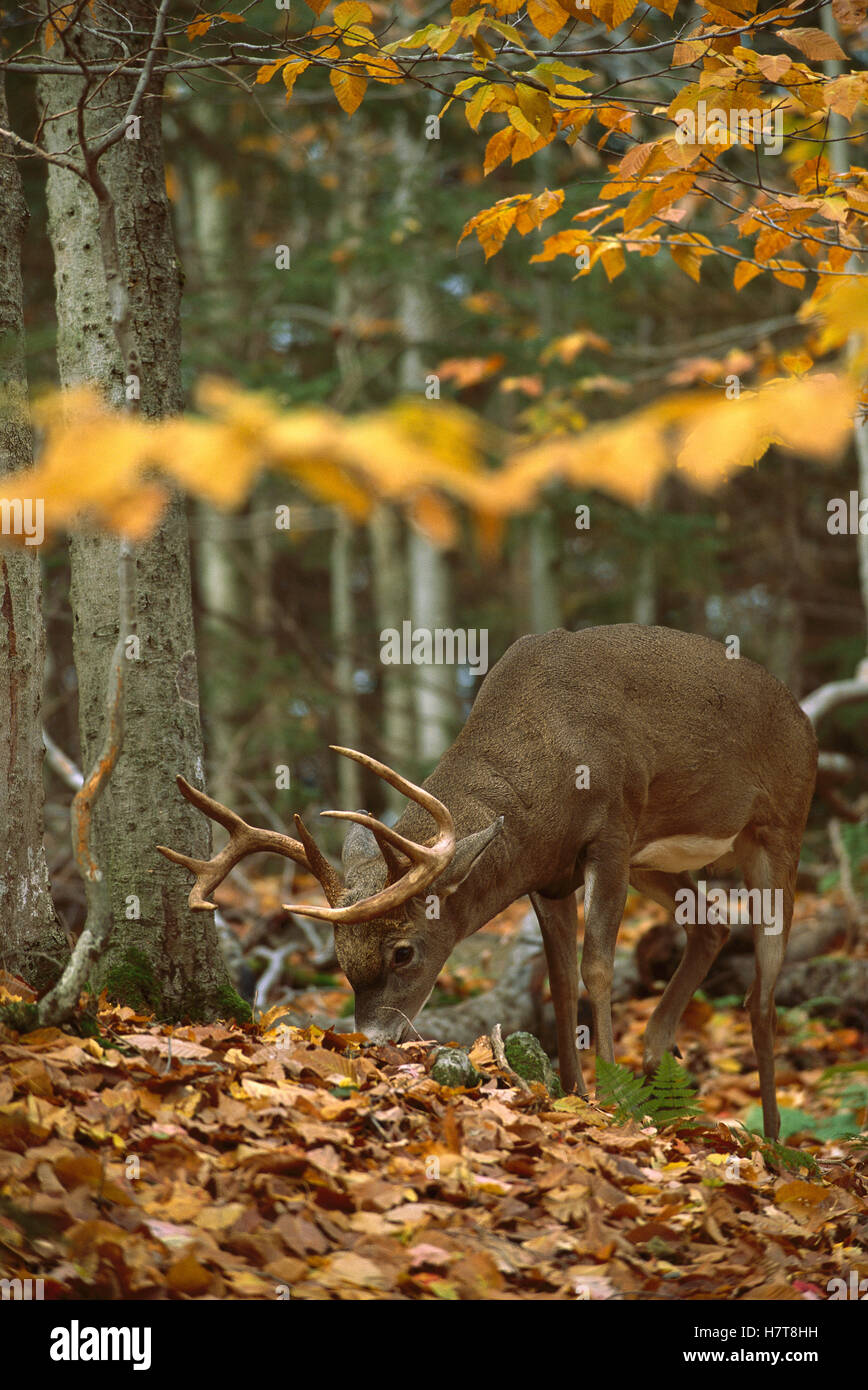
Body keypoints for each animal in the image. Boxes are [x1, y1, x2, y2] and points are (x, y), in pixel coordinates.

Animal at [157, 625, 818, 1139]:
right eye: (340, 956)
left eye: (403, 952)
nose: (370, 1042)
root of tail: (804, 718)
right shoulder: (550, 876)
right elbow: (559, 977)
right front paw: (575, 1093)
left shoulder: (613, 832)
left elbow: (598, 964)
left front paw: (612, 1098)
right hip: (660, 862)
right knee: (711, 924)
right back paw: (658, 1057)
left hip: (779, 830)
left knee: (763, 991)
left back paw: (774, 1136)